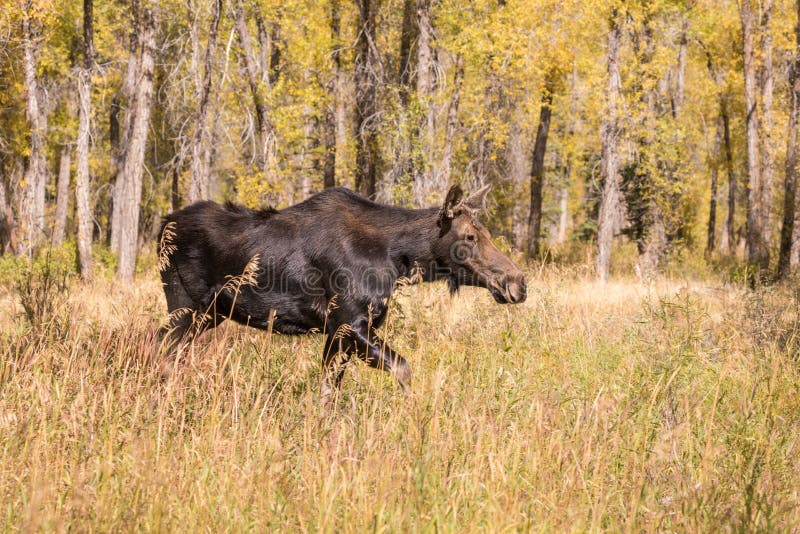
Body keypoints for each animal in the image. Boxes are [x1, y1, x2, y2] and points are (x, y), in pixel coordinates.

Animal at [157, 184, 526, 395]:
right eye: (470, 236)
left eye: (486, 232)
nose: (517, 282)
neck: (398, 261)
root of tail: (163, 226)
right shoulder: (349, 323)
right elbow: (404, 370)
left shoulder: (337, 333)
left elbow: (328, 391)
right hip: (185, 306)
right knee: (162, 351)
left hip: (210, 314)